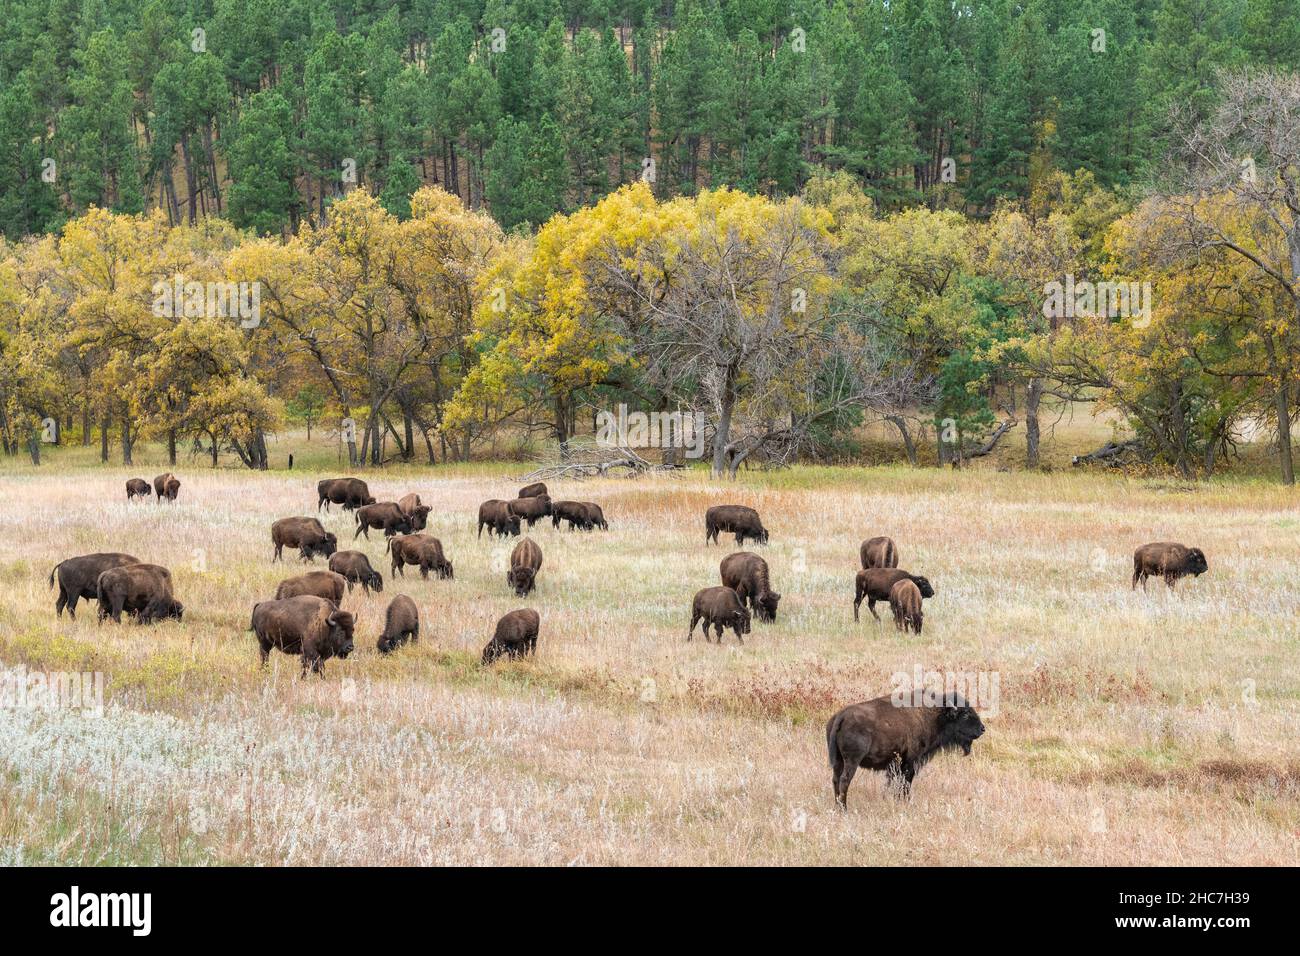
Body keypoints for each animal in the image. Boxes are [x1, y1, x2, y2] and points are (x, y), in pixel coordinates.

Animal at [826, 693, 985, 806]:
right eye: (965, 714)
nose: (982, 728)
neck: (935, 715)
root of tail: (841, 716)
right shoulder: (910, 762)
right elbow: (905, 783)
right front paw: (906, 801)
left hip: (838, 761)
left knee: (835, 780)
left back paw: (837, 806)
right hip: (851, 761)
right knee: (844, 780)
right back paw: (844, 808)